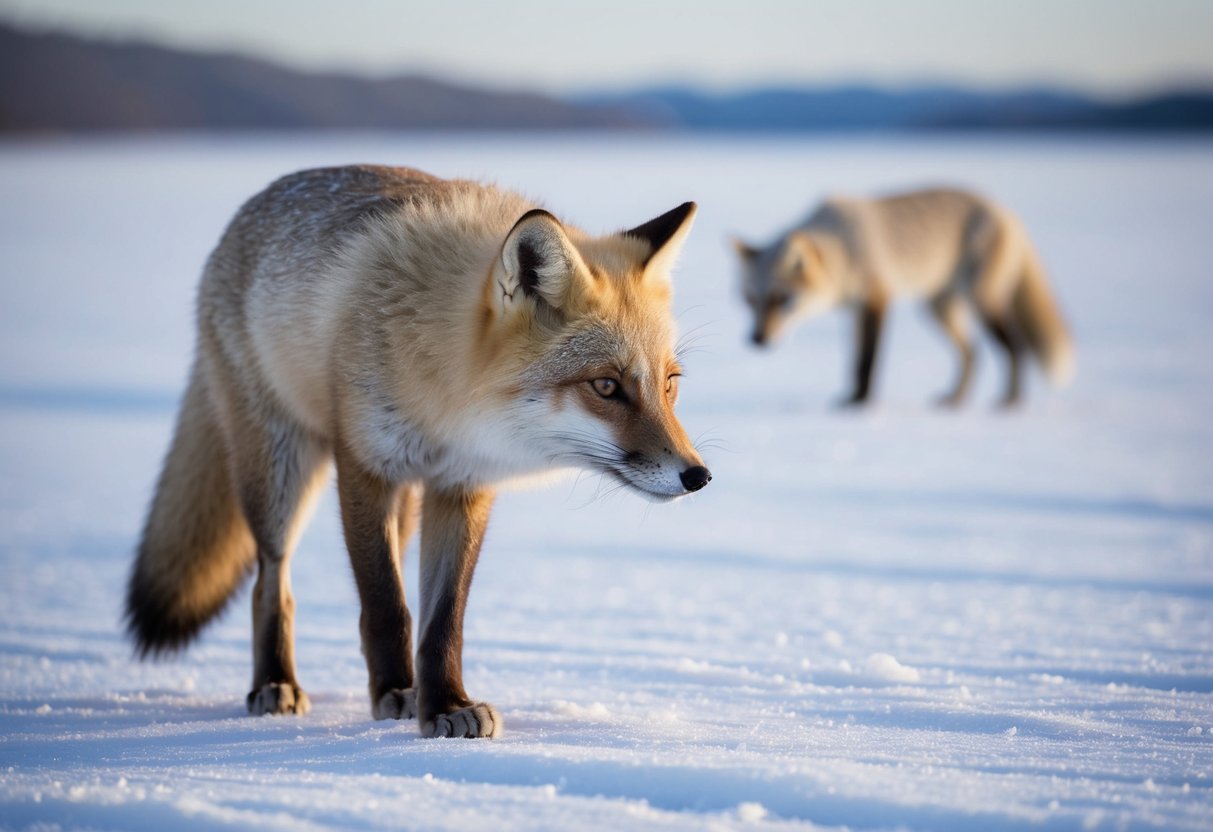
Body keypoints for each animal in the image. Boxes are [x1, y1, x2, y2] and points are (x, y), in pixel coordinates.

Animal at [125, 165, 711, 739]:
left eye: (669, 384)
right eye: (607, 386)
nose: (698, 476)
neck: (447, 403)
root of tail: (251, 206)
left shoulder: (461, 485)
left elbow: (442, 620)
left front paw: (445, 703)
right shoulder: (365, 465)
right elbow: (387, 606)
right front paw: (395, 696)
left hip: (402, 503)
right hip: (279, 475)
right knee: (271, 581)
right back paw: (276, 683)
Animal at [733, 187, 1074, 406]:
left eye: (782, 299)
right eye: (750, 299)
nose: (757, 340)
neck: (843, 249)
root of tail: (1005, 211)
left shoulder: (876, 299)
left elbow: (867, 361)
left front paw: (861, 405)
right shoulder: (854, 313)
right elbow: (853, 362)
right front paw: (851, 397)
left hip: (982, 301)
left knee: (1016, 346)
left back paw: (1010, 401)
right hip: (937, 309)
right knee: (972, 353)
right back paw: (956, 399)